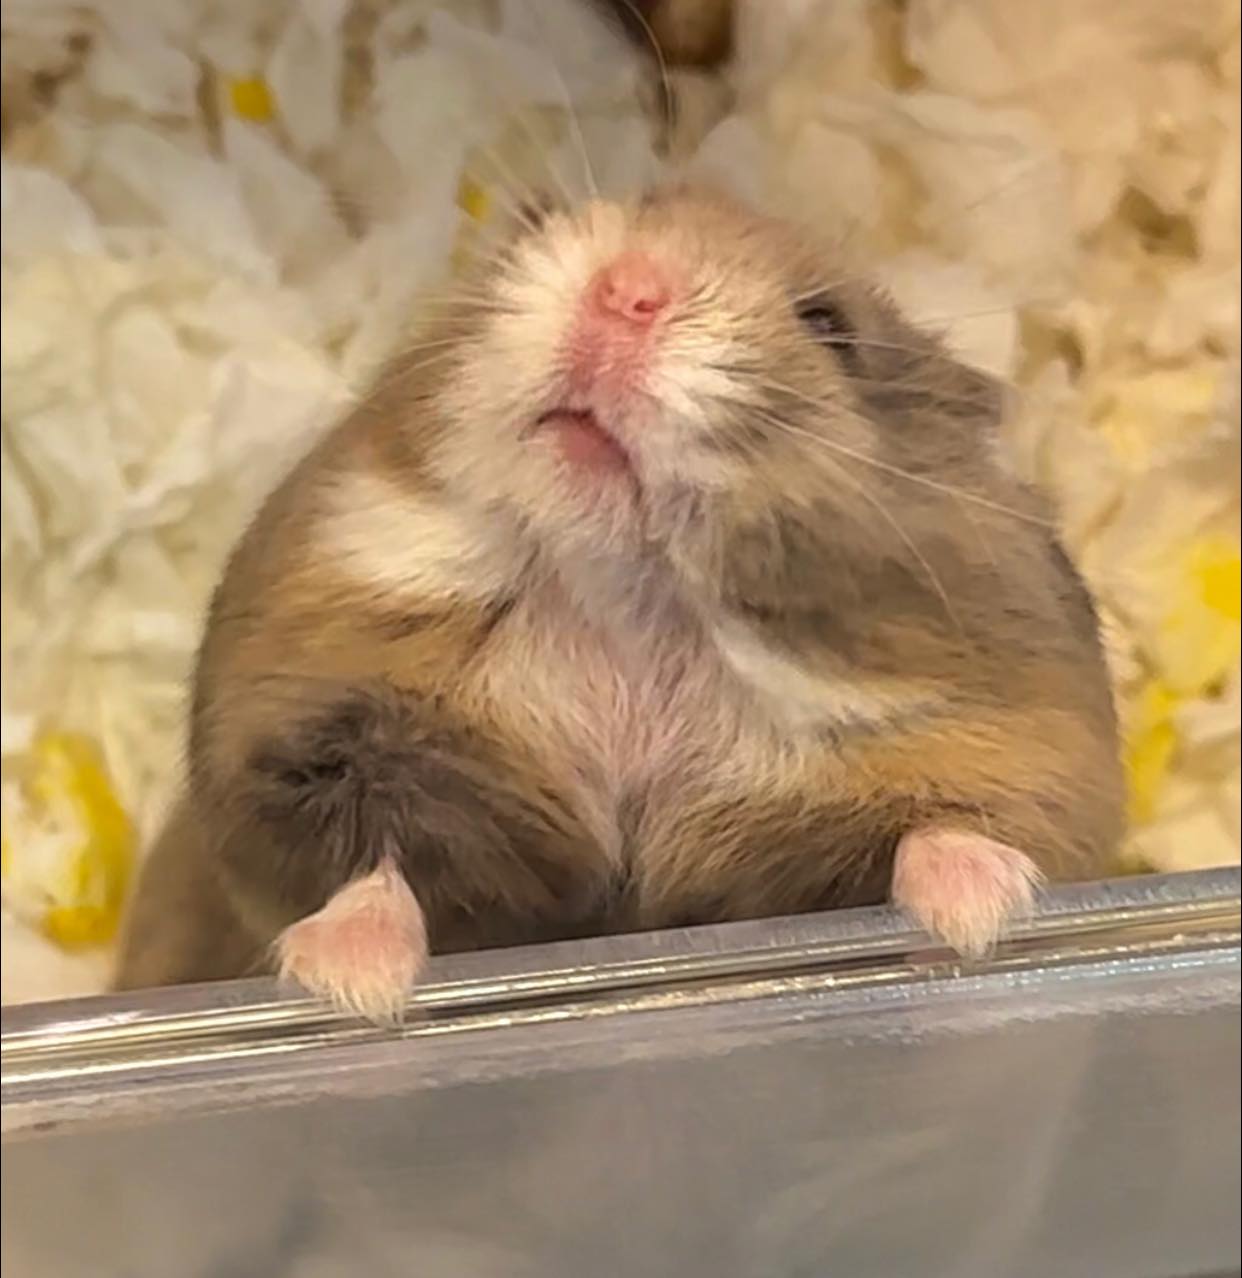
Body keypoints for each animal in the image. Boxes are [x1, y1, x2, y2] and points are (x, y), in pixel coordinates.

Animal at [114, 186, 1124, 1020]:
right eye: (562, 220)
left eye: (830, 325)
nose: (628, 289)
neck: (628, 611)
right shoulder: (295, 737)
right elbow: (367, 863)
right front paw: (358, 991)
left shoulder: (1021, 758)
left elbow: (942, 829)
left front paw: (984, 919)